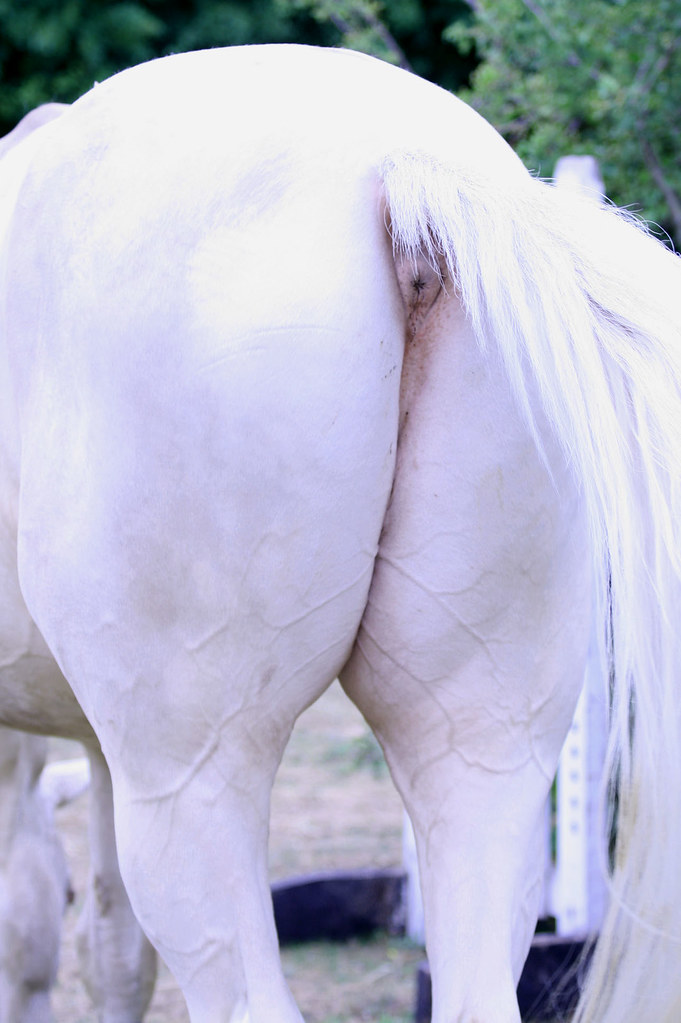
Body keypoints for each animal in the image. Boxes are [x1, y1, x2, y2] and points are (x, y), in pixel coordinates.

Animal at [1, 43, 680, 1023]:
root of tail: (399, 167)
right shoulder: (90, 741)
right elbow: (108, 946)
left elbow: (29, 929)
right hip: (483, 747)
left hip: (191, 775)